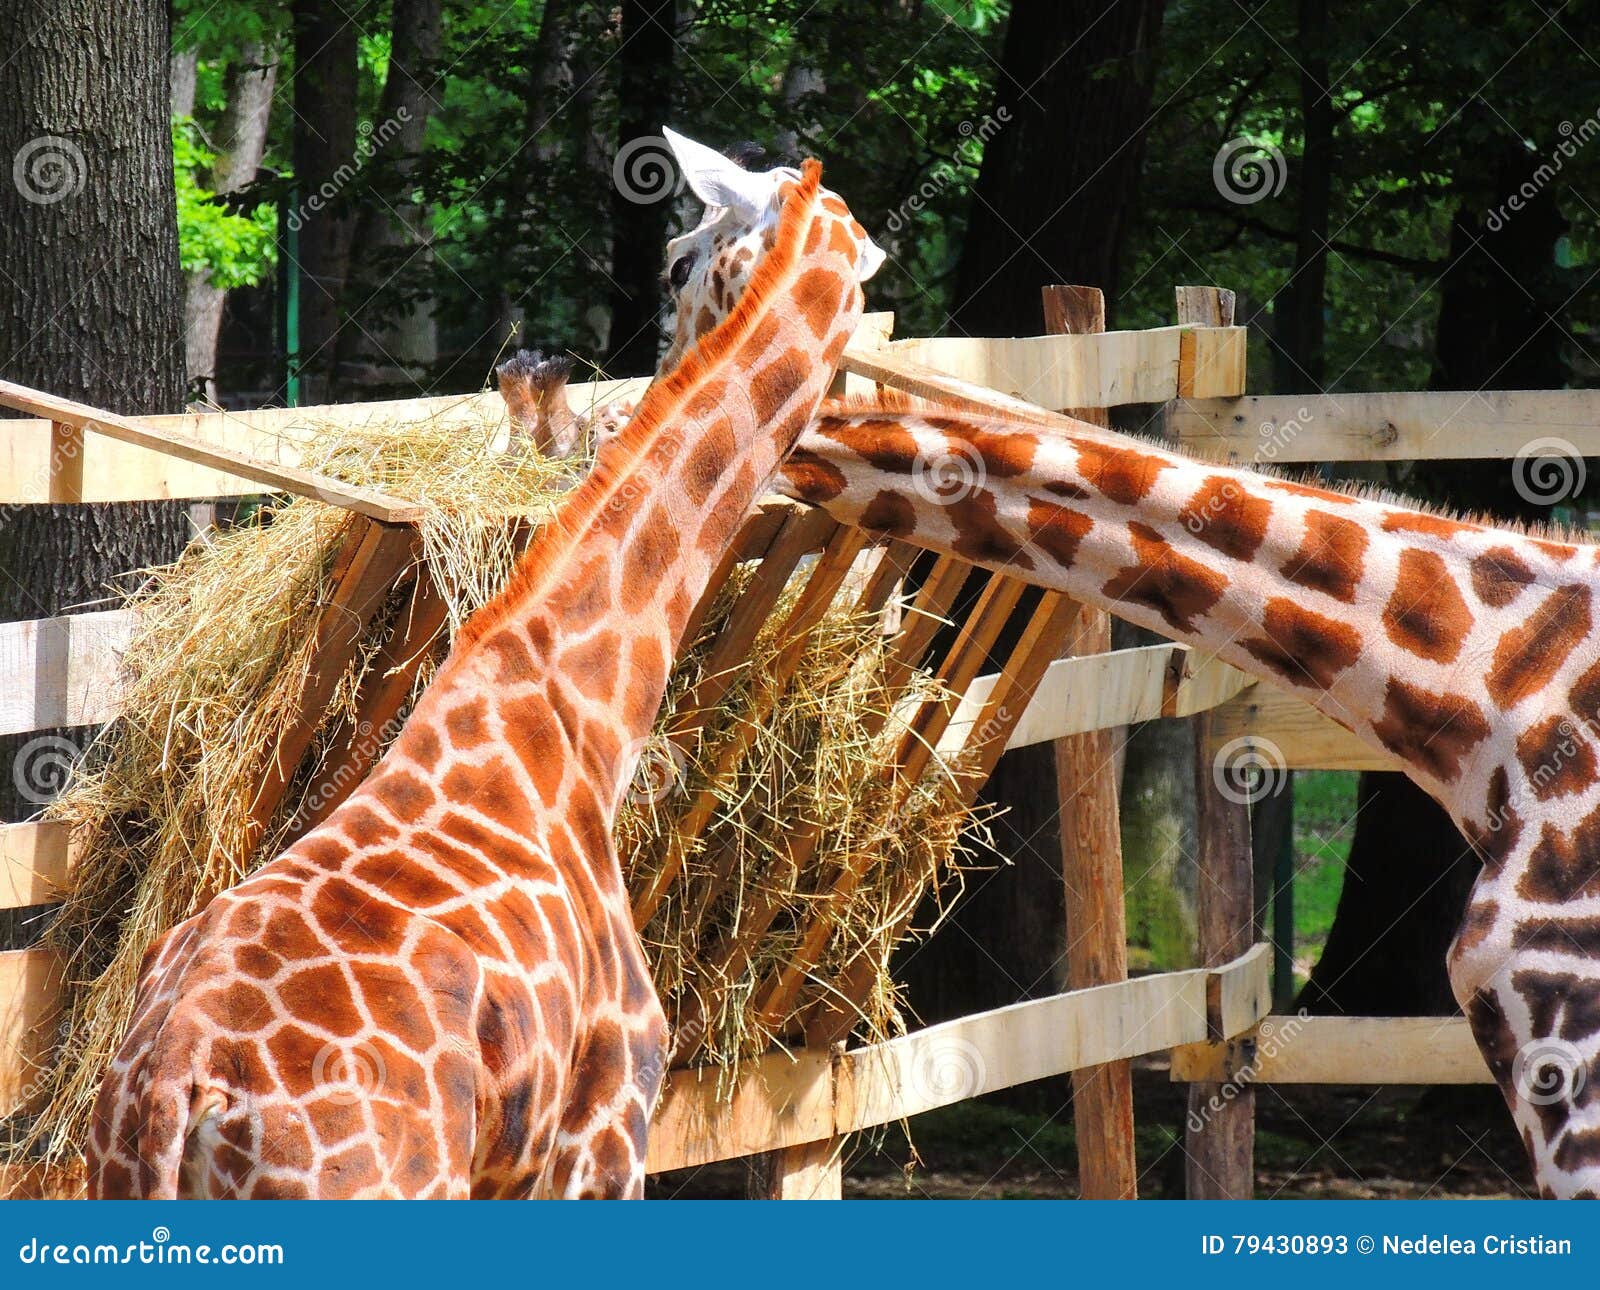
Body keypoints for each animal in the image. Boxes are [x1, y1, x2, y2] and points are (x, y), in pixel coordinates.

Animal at [85, 134, 881, 1199]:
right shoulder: (604, 1132)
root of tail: (181, 1089)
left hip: (112, 1172)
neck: (586, 714)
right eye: (675, 259)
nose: (637, 386)